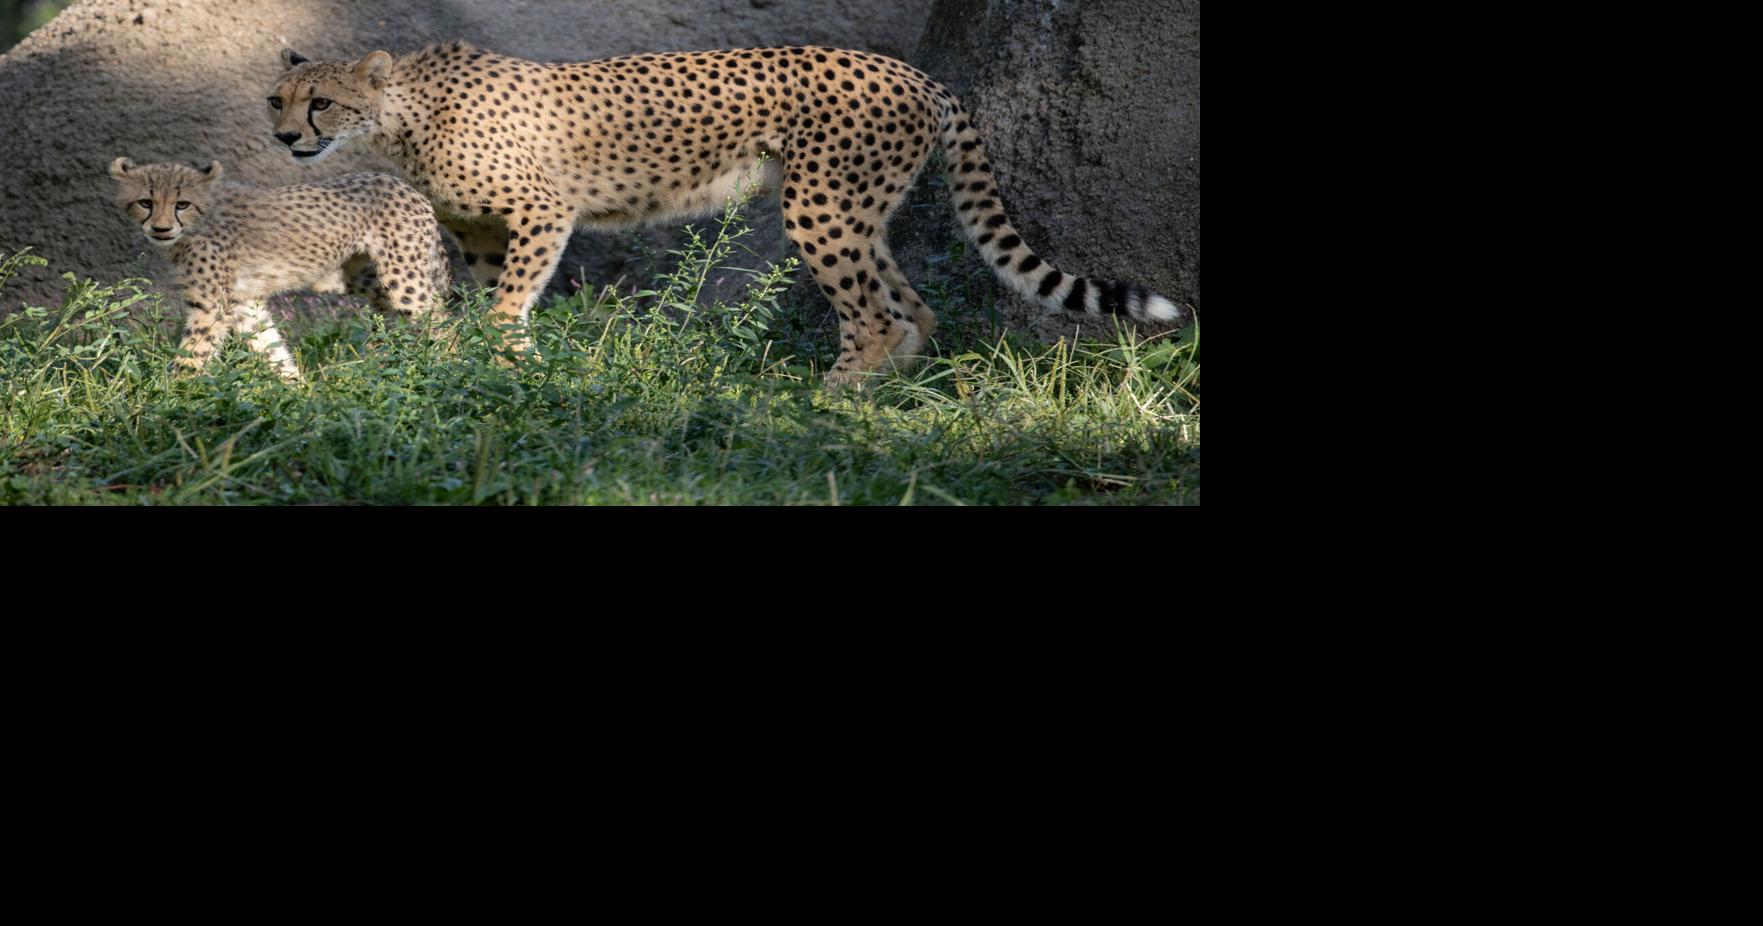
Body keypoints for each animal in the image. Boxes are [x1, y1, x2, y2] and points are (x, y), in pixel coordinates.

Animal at [109, 158, 450, 381]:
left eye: (182, 204)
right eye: (145, 202)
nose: (161, 229)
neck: (200, 220)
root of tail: (402, 184)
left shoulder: (212, 304)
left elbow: (195, 350)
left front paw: (173, 394)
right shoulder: (243, 302)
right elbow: (268, 345)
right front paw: (296, 389)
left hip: (403, 279)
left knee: (438, 322)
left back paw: (449, 368)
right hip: (351, 276)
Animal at [268, 43, 1188, 386]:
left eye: (321, 103)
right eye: (276, 98)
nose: (281, 138)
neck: (399, 114)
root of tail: (913, 72)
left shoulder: (541, 210)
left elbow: (507, 301)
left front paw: (506, 364)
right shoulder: (485, 230)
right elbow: (500, 302)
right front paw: (506, 369)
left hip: (821, 205)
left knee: (876, 314)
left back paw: (831, 402)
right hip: (856, 208)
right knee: (913, 305)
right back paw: (880, 398)